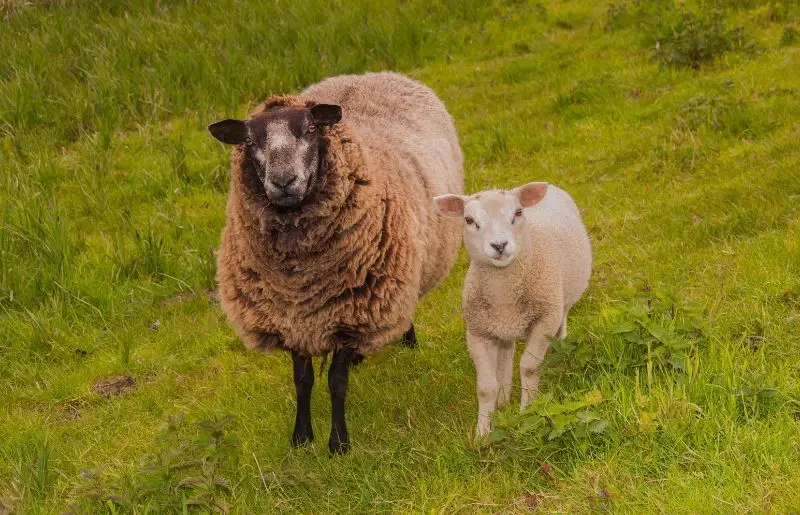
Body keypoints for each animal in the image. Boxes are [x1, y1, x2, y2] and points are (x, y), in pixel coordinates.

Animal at [208, 72, 463, 454]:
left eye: (311, 128)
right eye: (250, 140)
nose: (284, 181)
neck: (298, 279)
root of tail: (370, 74)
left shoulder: (351, 311)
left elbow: (335, 381)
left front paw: (338, 443)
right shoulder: (290, 317)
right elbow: (302, 379)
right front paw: (301, 437)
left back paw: (407, 340)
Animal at [433, 182, 591, 437]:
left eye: (517, 213)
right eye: (469, 220)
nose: (499, 245)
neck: (504, 294)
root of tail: (552, 186)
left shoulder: (544, 319)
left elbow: (528, 367)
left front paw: (527, 412)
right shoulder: (477, 332)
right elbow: (485, 387)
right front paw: (482, 432)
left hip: (563, 300)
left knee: (562, 322)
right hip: (500, 328)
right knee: (506, 354)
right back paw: (503, 399)